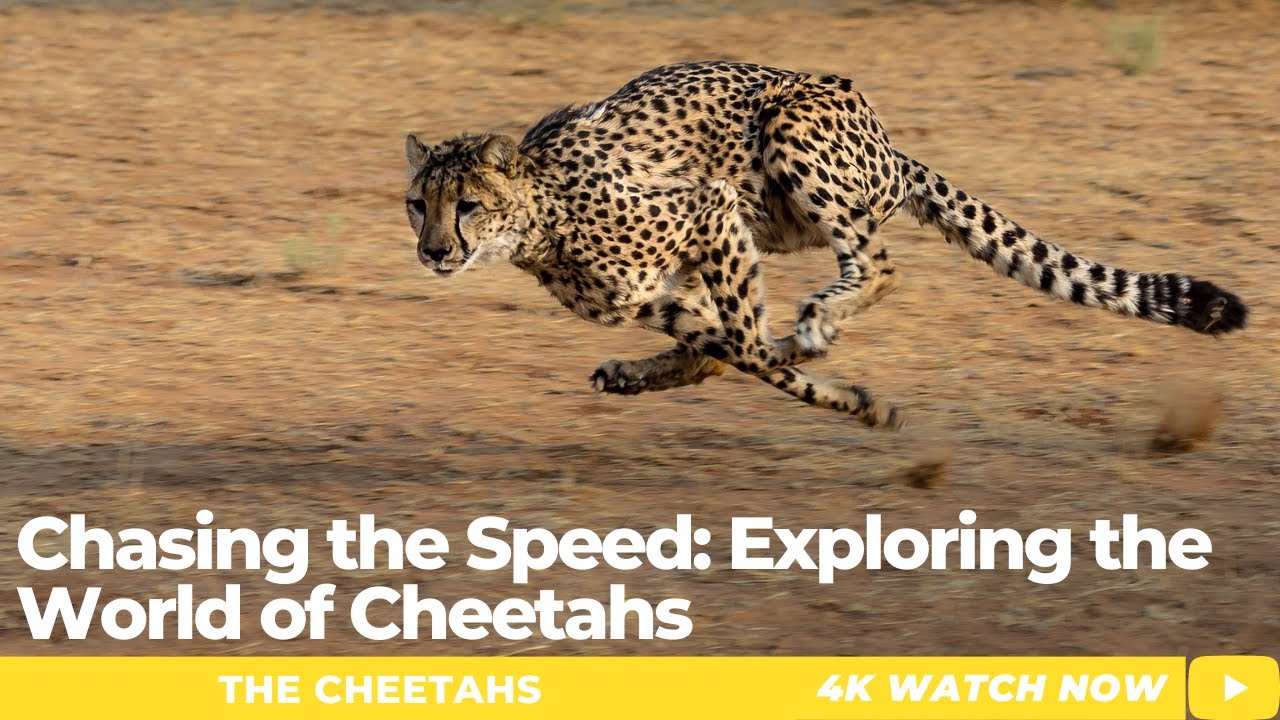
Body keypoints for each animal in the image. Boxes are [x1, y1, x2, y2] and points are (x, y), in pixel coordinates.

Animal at [404, 61, 1247, 429]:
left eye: (467, 205)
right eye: (419, 205)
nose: (434, 252)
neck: (539, 218)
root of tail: (887, 142)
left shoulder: (709, 209)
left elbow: (748, 347)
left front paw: (844, 390)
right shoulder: (660, 292)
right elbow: (727, 350)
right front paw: (847, 395)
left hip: (790, 135)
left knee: (877, 263)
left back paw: (817, 322)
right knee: (727, 343)